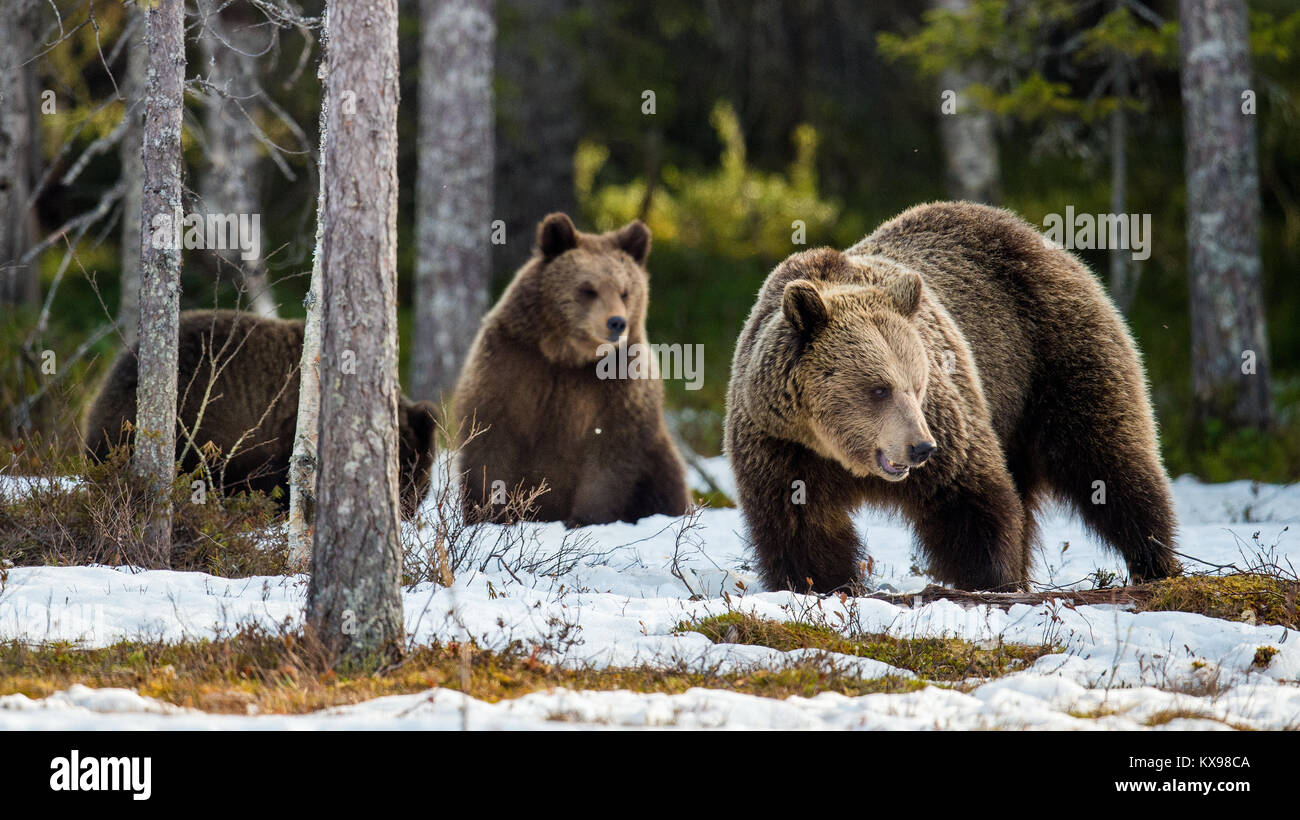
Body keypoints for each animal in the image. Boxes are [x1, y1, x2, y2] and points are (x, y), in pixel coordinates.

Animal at [453, 212, 691, 526]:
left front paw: (585, 518)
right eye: (588, 289)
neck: (569, 355)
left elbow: (609, 456)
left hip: (659, 463)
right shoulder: (511, 363)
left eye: (625, 292)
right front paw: (490, 513)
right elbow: (490, 435)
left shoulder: (619, 385)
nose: (617, 322)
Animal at [725, 201, 1180, 594]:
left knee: (1108, 458)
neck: (836, 452)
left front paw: (993, 581)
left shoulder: (947, 418)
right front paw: (826, 586)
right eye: (878, 388)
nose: (920, 448)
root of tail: (1034, 234)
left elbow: (971, 500)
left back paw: (1157, 562)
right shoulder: (781, 446)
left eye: (917, 383)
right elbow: (802, 531)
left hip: (1056, 353)